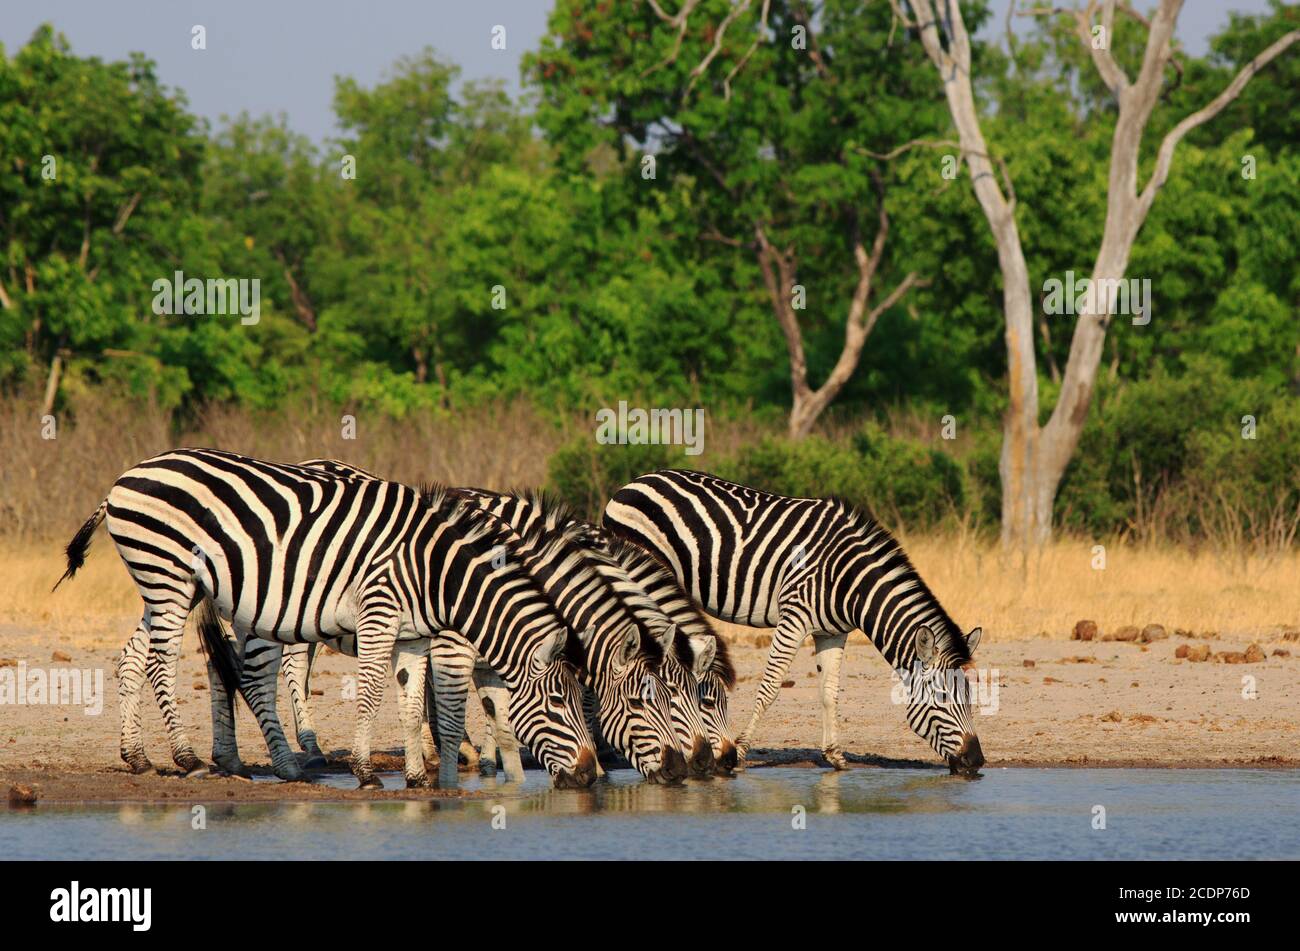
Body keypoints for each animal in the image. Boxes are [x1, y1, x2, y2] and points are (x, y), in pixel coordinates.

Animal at [53, 448, 601, 789]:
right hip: (171, 575)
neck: (436, 569)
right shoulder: (381, 613)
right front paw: (368, 772)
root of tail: (123, 480)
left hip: (173, 587)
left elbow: (409, 700)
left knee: (134, 657)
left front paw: (419, 778)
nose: (590, 776)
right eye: (560, 701)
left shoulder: (414, 636)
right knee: (166, 662)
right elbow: (379, 694)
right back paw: (190, 758)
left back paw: (139, 758)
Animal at [603, 469, 986, 776]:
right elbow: (769, 687)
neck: (848, 580)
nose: (977, 761)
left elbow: (829, 692)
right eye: (942, 696)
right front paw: (740, 751)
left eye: (970, 696)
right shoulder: (794, 617)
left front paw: (835, 756)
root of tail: (635, 482)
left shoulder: (832, 632)